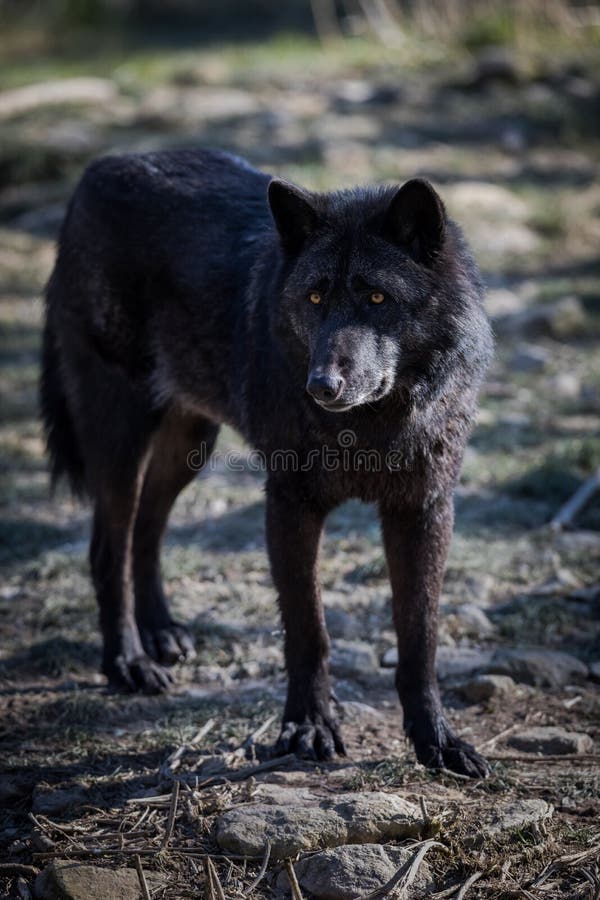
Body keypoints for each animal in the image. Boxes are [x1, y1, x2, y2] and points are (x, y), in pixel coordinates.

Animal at [41, 149, 493, 776]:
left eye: (377, 298)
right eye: (315, 298)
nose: (322, 385)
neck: (370, 425)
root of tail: (98, 169)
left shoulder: (423, 509)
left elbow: (419, 636)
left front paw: (437, 740)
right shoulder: (290, 505)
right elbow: (308, 629)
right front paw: (307, 728)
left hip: (191, 445)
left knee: (147, 530)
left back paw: (161, 634)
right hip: (121, 439)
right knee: (110, 546)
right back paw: (128, 663)